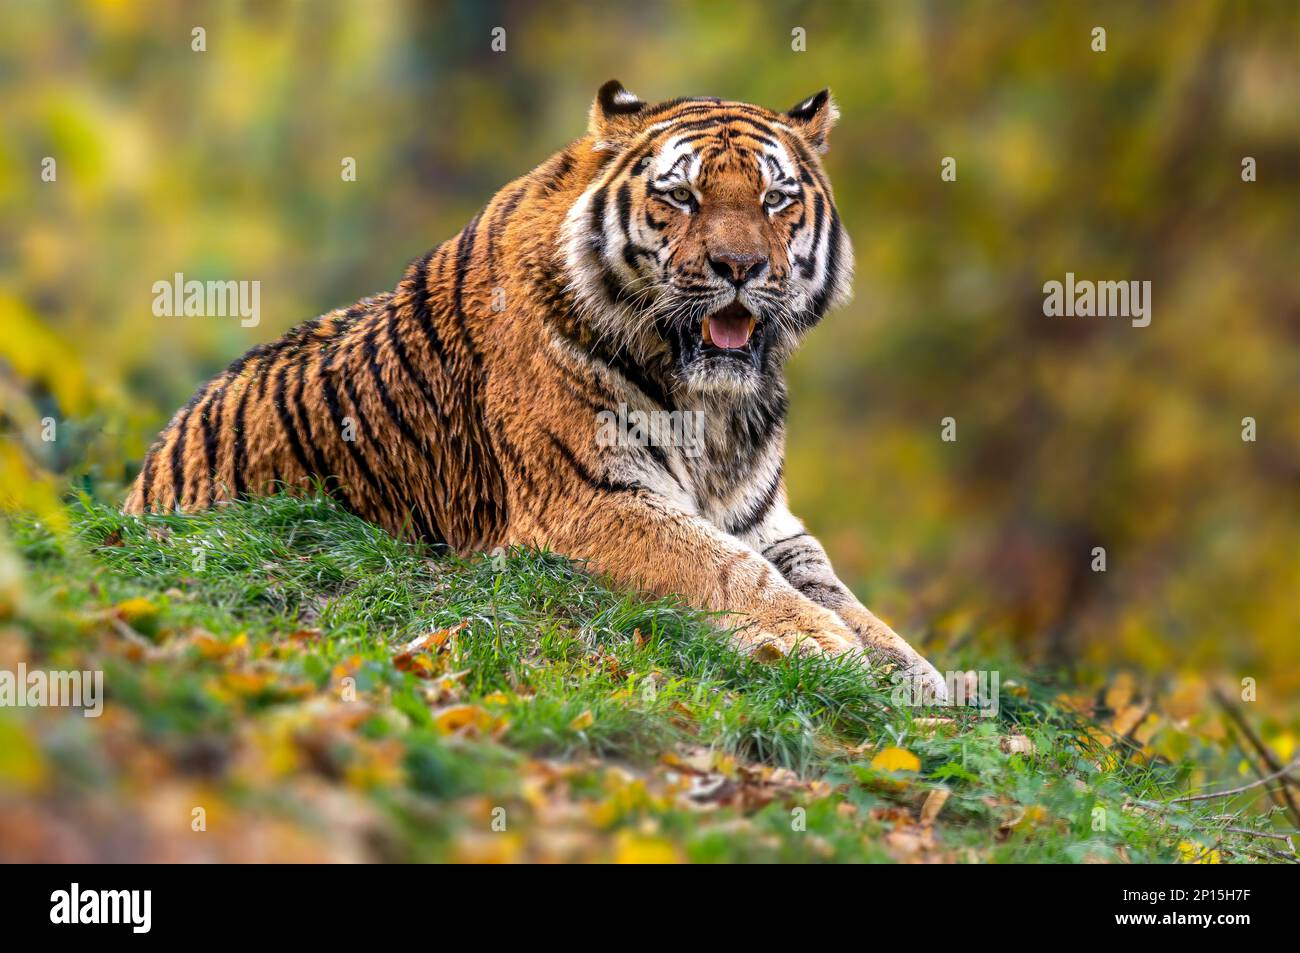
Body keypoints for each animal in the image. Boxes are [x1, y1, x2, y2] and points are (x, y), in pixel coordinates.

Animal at [125, 80, 947, 699]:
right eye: (682, 197)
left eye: (777, 199)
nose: (739, 266)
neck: (711, 406)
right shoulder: (594, 499)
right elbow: (727, 571)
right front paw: (823, 645)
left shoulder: (770, 524)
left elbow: (843, 595)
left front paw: (918, 674)